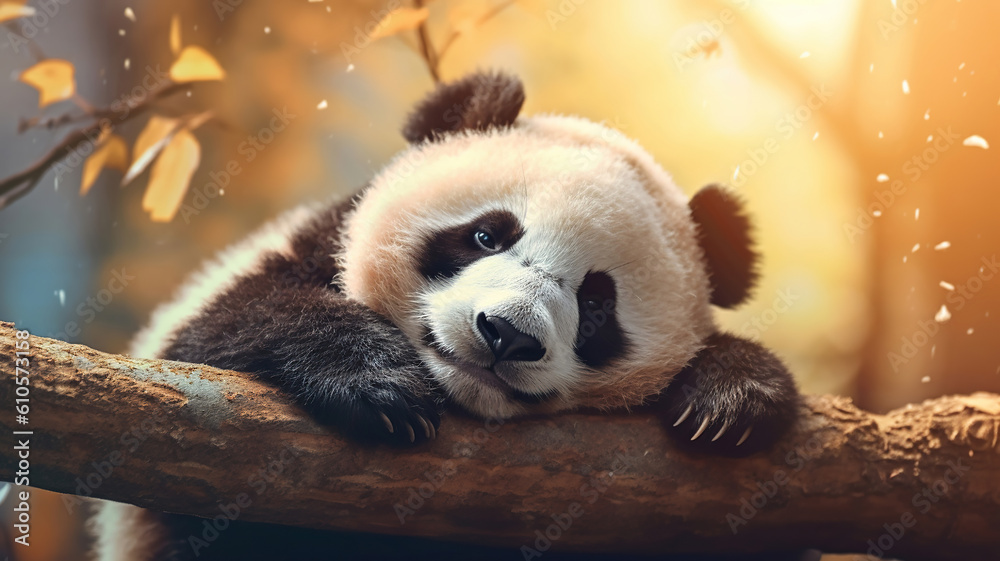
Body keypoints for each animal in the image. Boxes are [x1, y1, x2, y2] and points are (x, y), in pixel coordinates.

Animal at [90, 71, 800, 561]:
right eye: (487, 236)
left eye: (598, 305)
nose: (507, 335)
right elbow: (219, 332)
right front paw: (380, 387)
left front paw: (731, 399)